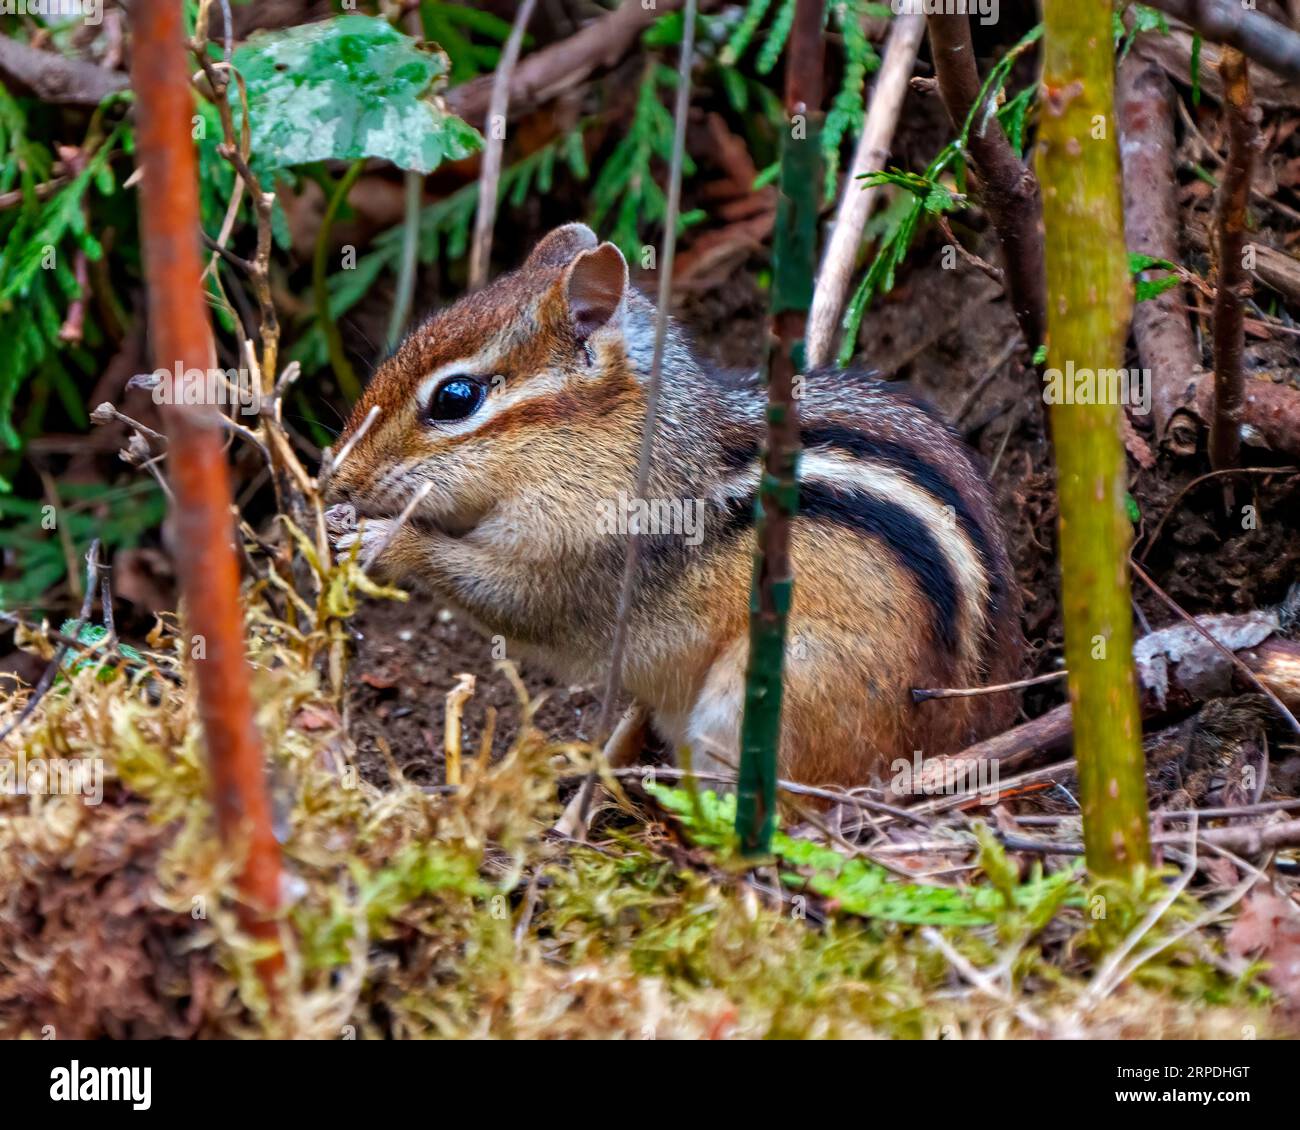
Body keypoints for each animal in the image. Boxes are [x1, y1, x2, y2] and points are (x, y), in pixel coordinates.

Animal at [326, 223, 1023, 790]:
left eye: (456, 398)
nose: (336, 475)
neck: (617, 438)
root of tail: (975, 724)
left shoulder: (587, 554)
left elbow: (514, 601)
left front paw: (379, 537)